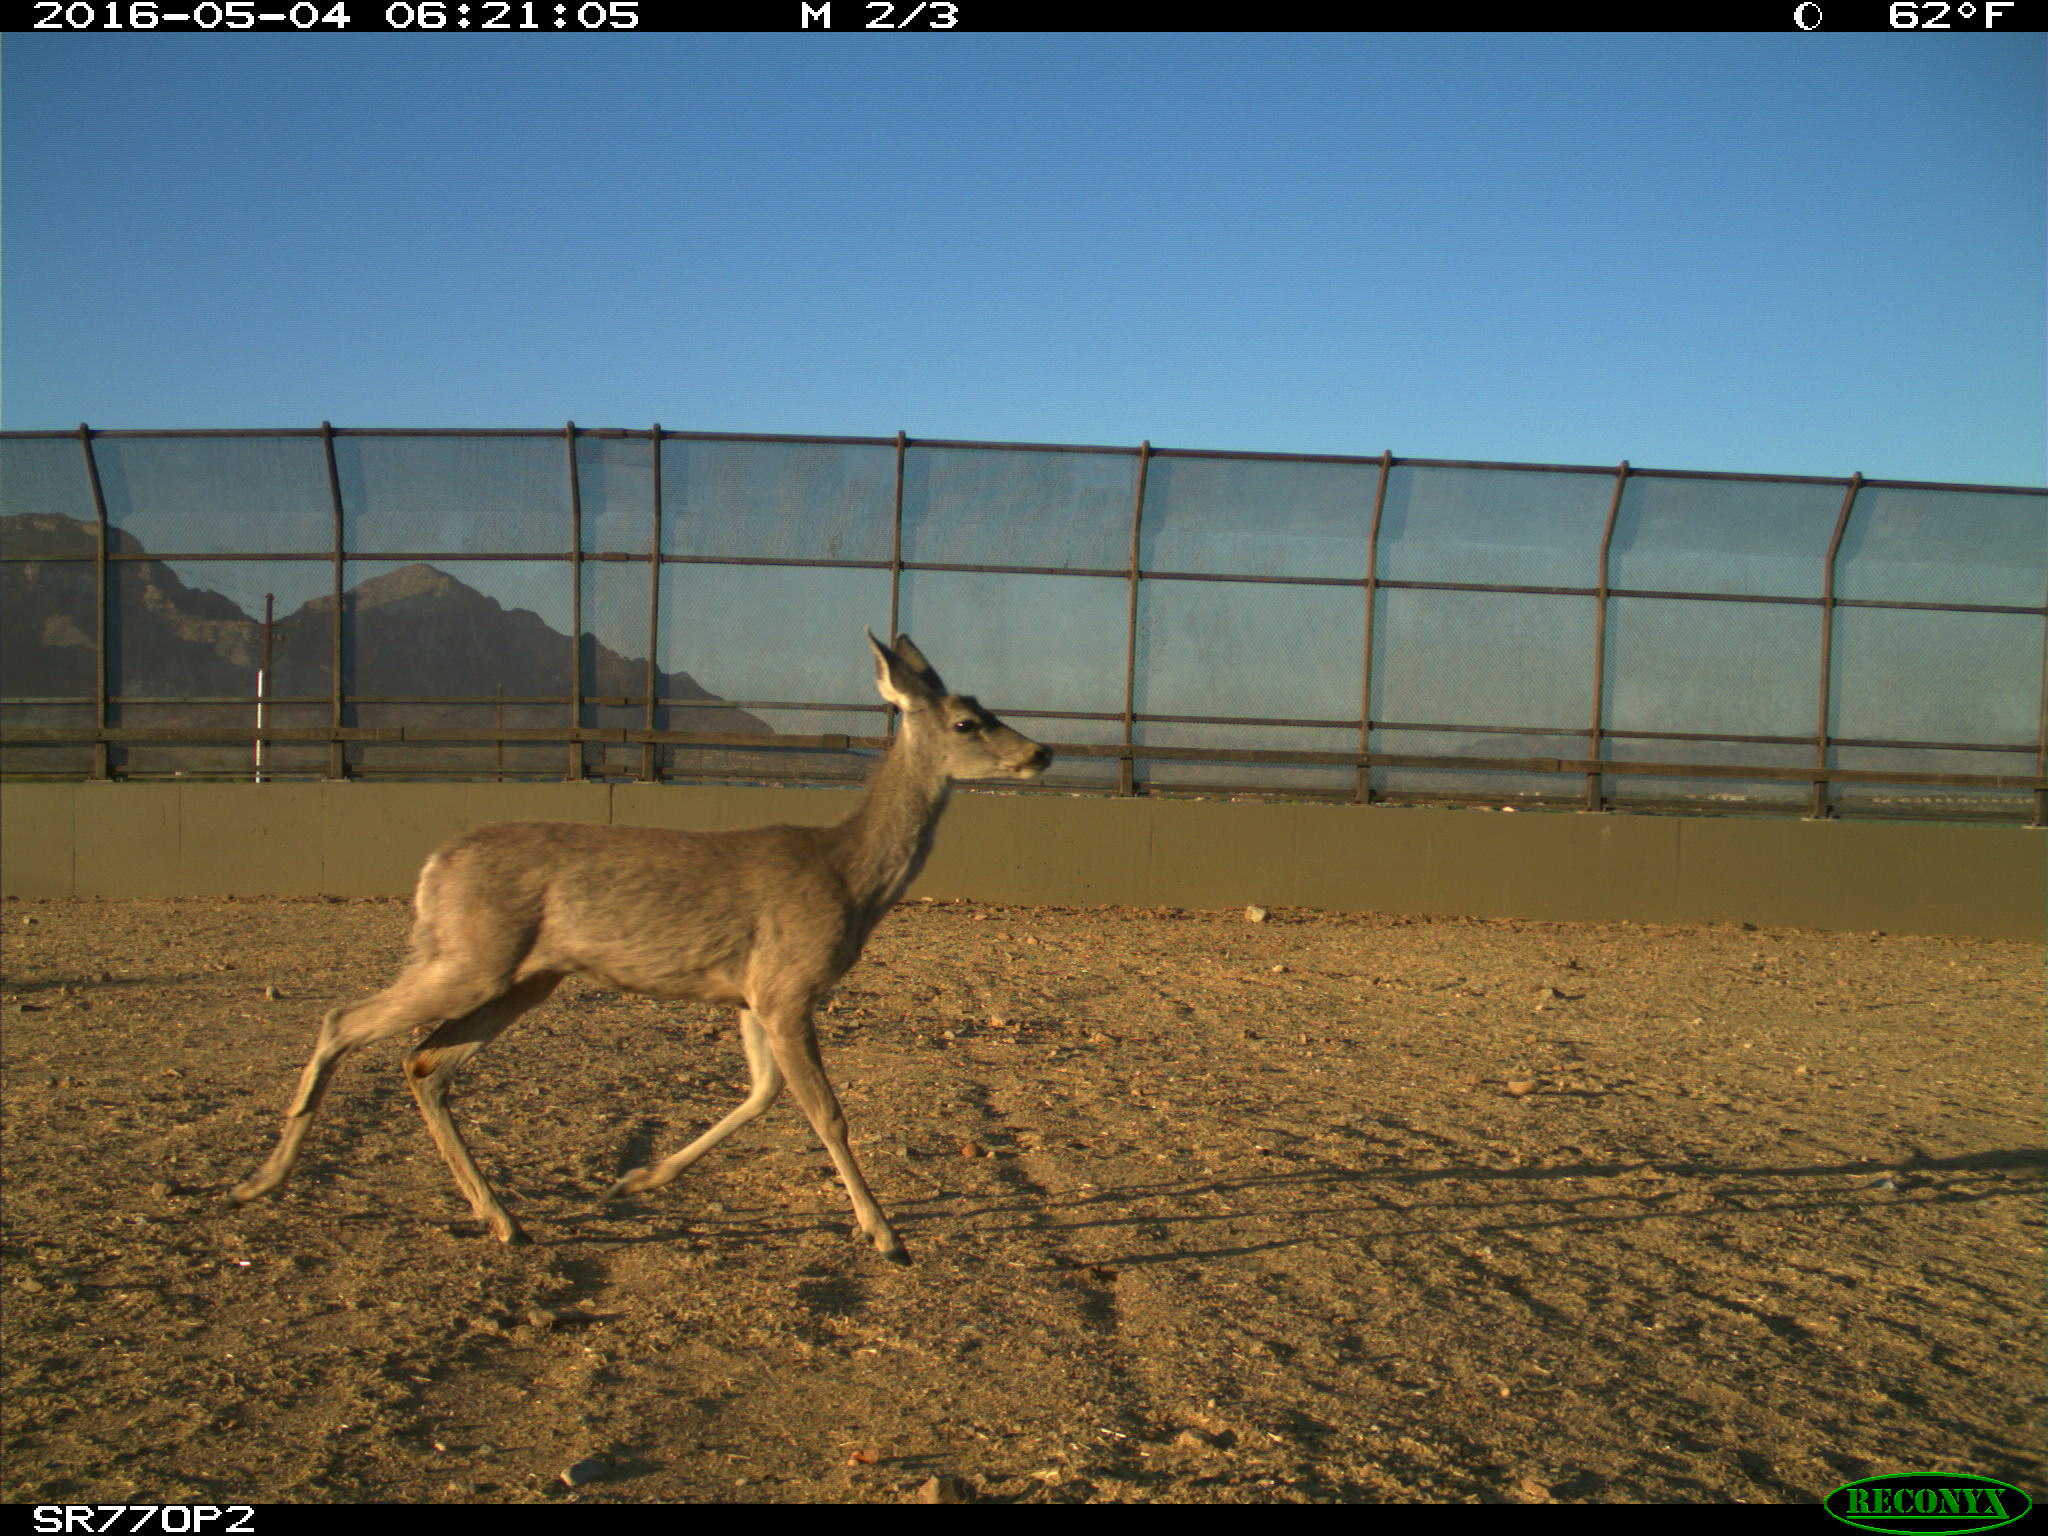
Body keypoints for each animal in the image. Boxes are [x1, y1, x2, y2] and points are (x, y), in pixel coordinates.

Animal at [231, 632, 1051, 1265]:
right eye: (967, 721)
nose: (1042, 751)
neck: (847, 876)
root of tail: (433, 869)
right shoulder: (788, 985)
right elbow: (827, 1113)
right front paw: (888, 1237)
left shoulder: (750, 994)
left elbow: (762, 1094)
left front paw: (635, 1182)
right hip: (471, 958)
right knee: (344, 1019)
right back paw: (259, 1182)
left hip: (524, 977)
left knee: (424, 1061)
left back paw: (504, 1220)